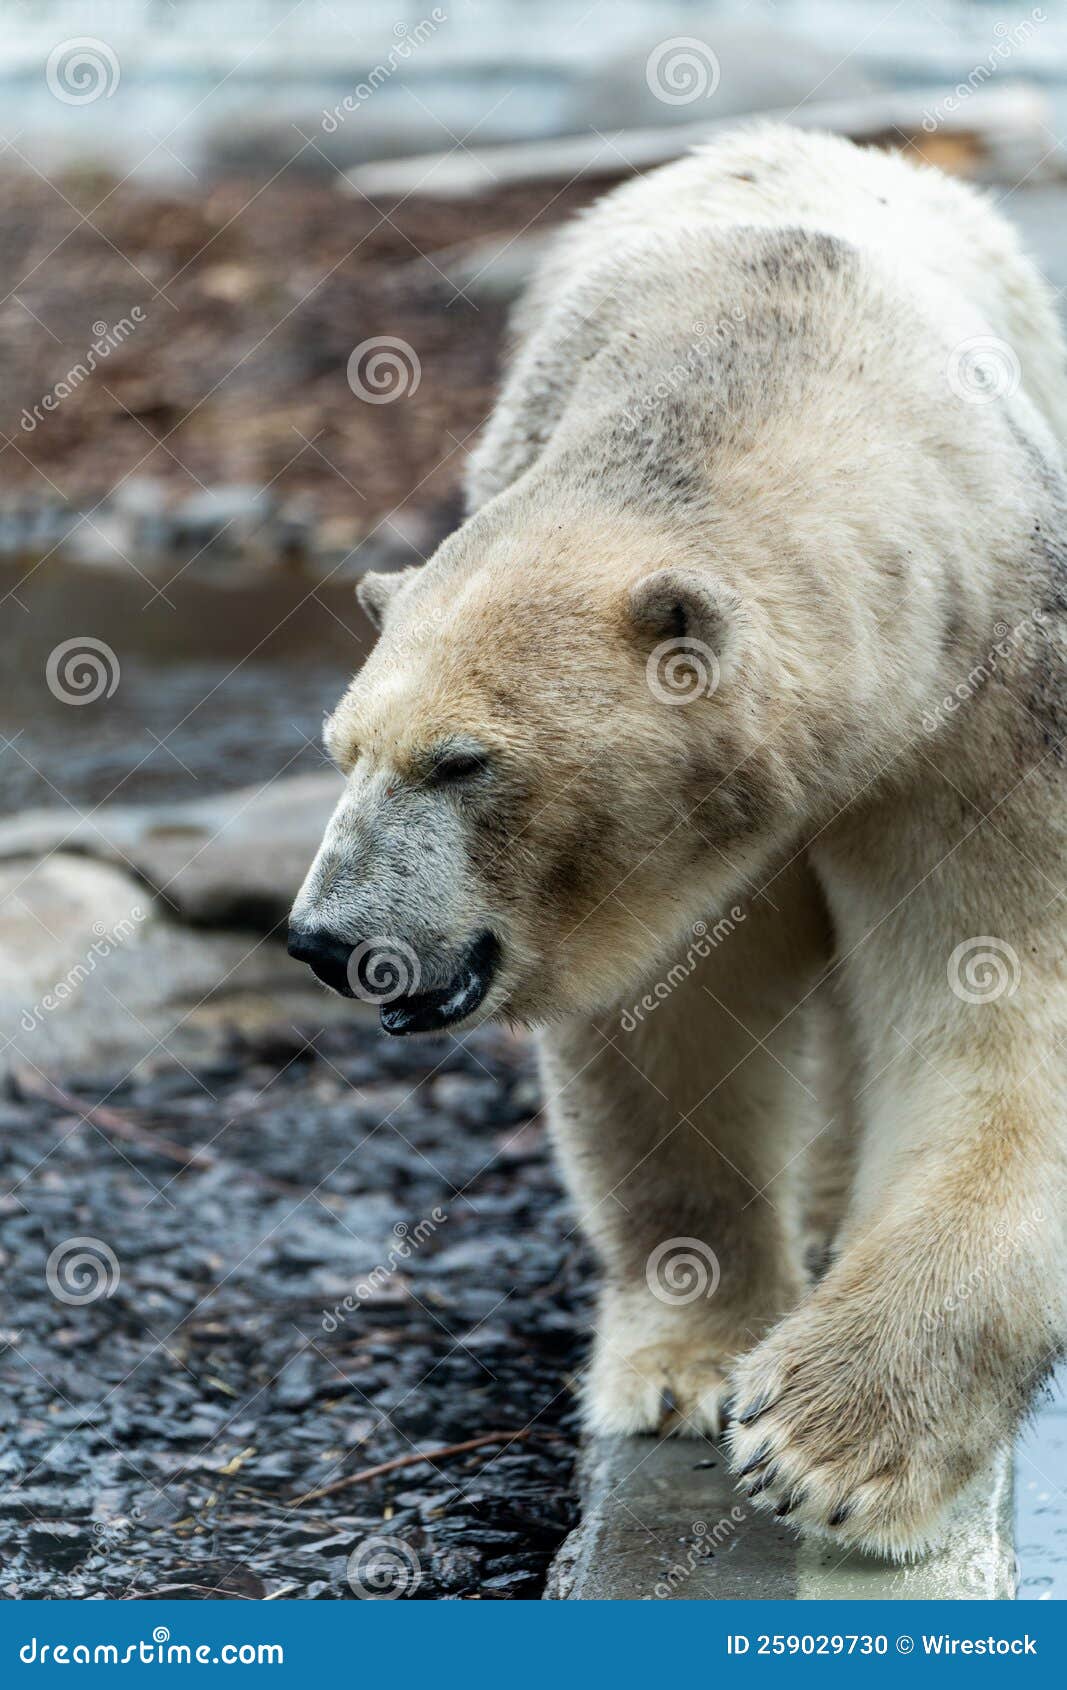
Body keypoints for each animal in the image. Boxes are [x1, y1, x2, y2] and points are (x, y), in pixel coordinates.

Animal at [289, 125, 1067, 1560]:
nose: (327, 937)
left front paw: (826, 1442)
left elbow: (998, 1000)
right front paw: (686, 1370)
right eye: (341, 748)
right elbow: (670, 1033)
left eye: (460, 760)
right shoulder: (662, 864)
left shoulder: (986, 708)